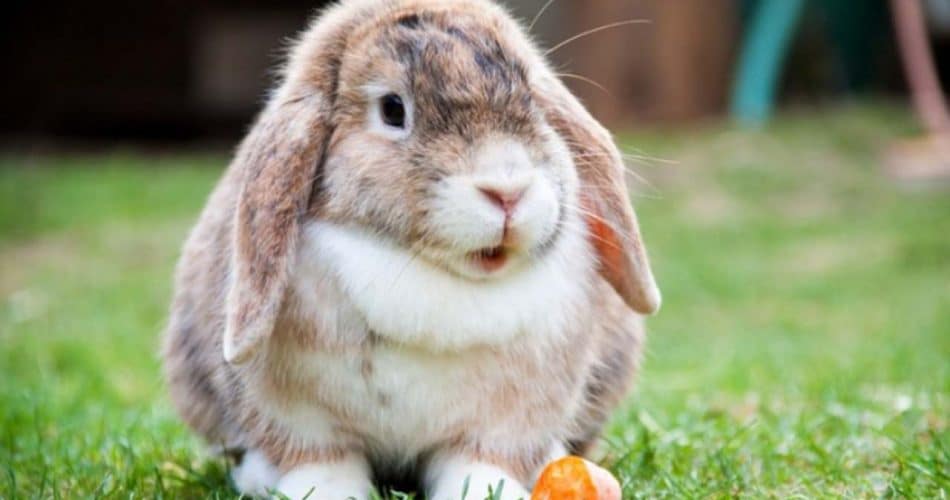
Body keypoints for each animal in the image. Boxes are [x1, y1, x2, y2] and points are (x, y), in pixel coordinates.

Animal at [162, 0, 661, 498]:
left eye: (533, 101)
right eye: (392, 109)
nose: (507, 190)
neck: (431, 273)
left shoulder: (508, 419)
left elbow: (480, 459)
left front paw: (486, 488)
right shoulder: (300, 418)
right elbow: (321, 460)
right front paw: (324, 490)